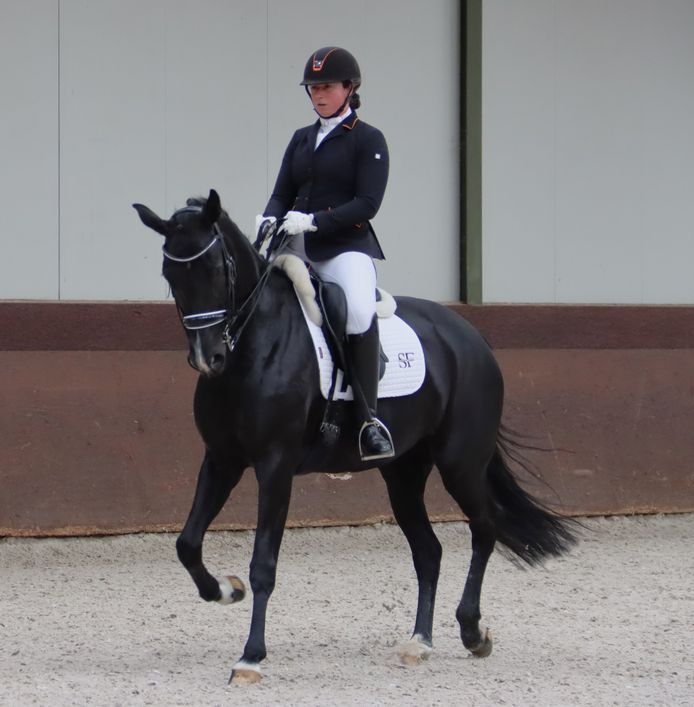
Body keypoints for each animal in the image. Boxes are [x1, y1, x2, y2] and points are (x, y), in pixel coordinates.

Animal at [133, 189, 576, 684]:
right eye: (170, 274)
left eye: (215, 268)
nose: (207, 359)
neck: (253, 345)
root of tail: (470, 337)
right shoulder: (222, 458)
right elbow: (187, 544)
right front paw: (227, 590)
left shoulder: (275, 466)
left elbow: (264, 563)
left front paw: (251, 656)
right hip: (403, 474)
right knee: (429, 551)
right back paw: (420, 642)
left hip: (461, 464)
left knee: (483, 529)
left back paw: (472, 632)